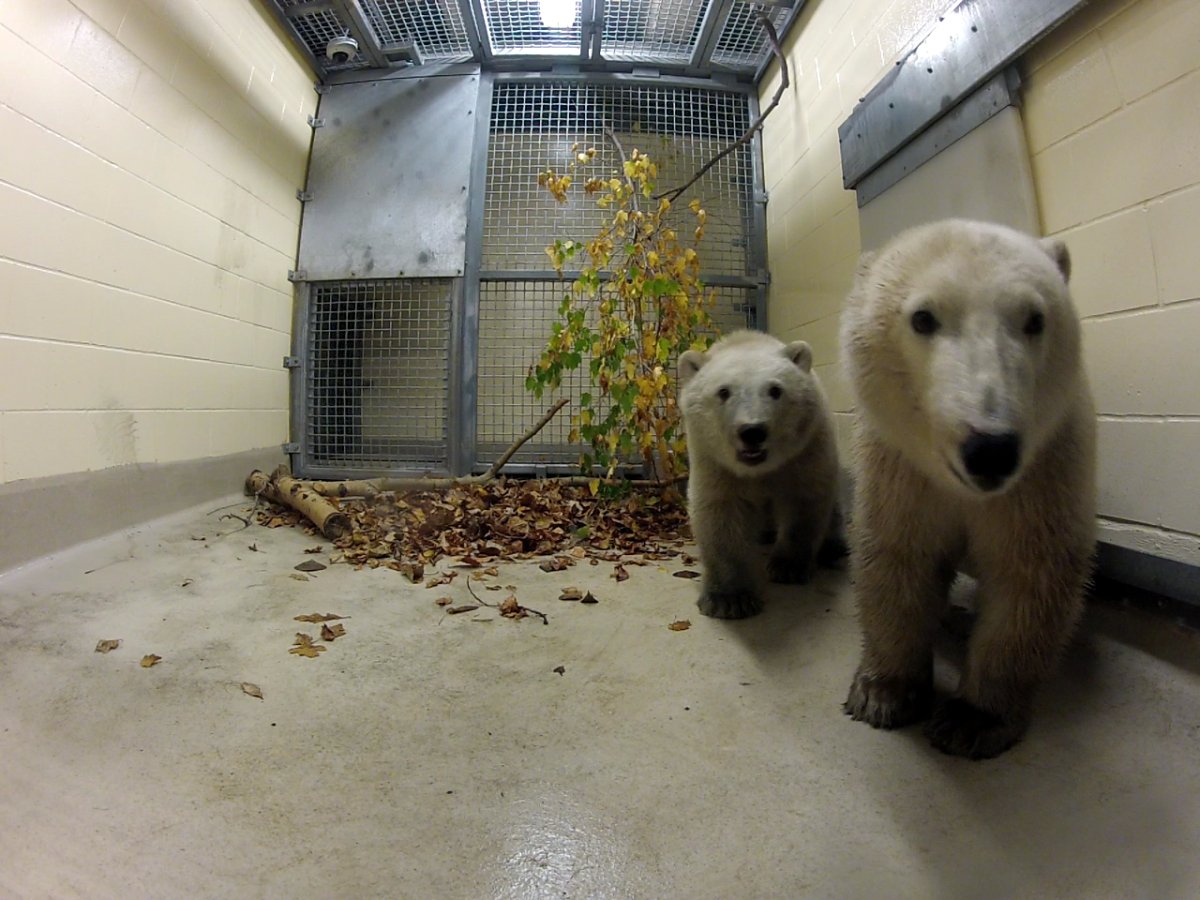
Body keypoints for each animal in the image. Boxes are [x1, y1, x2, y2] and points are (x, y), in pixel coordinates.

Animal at [678, 330, 840, 620]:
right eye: (723, 391)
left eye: (775, 390)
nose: (752, 431)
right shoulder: (714, 462)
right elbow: (721, 512)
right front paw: (729, 599)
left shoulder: (806, 450)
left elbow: (804, 500)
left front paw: (787, 567)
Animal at [839, 218, 1096, 759]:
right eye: (923, 317)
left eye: (1034, 319)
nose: (990, 448)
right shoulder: (899, 471)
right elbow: (898, 556)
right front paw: (883, 693)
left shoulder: (1043, 474)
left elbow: (1029, 574)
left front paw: (971, 719)